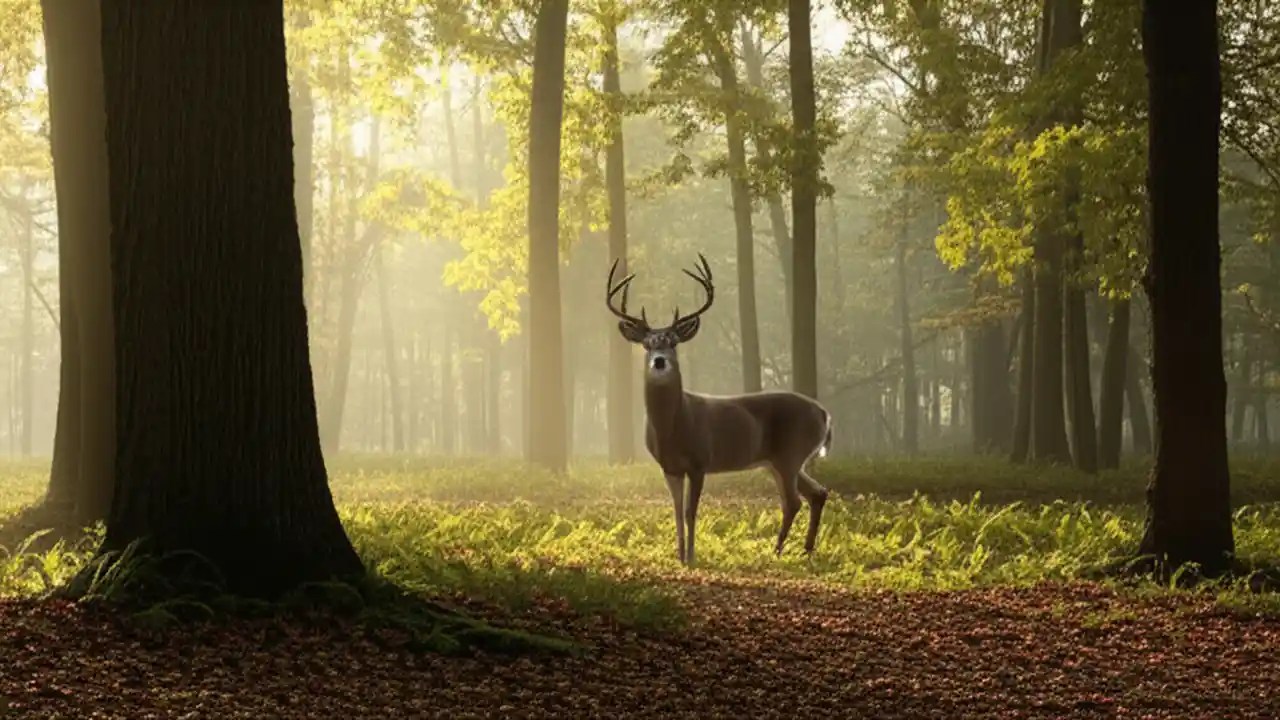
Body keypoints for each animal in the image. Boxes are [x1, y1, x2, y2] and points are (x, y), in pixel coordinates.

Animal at [606, 254, 833, 567]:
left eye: (674, 343)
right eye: (647, 344)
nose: (659, 361)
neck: (673, 427)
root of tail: (824, 413)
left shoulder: (700, 461)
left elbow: (690, 511)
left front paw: (691, 557)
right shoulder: (669, 467)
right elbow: (675, 511)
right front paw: (679, 556)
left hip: (790, 452)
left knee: (793, 500)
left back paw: (777, 551)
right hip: (777, 460)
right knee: (817, 493)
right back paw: (806, 550)